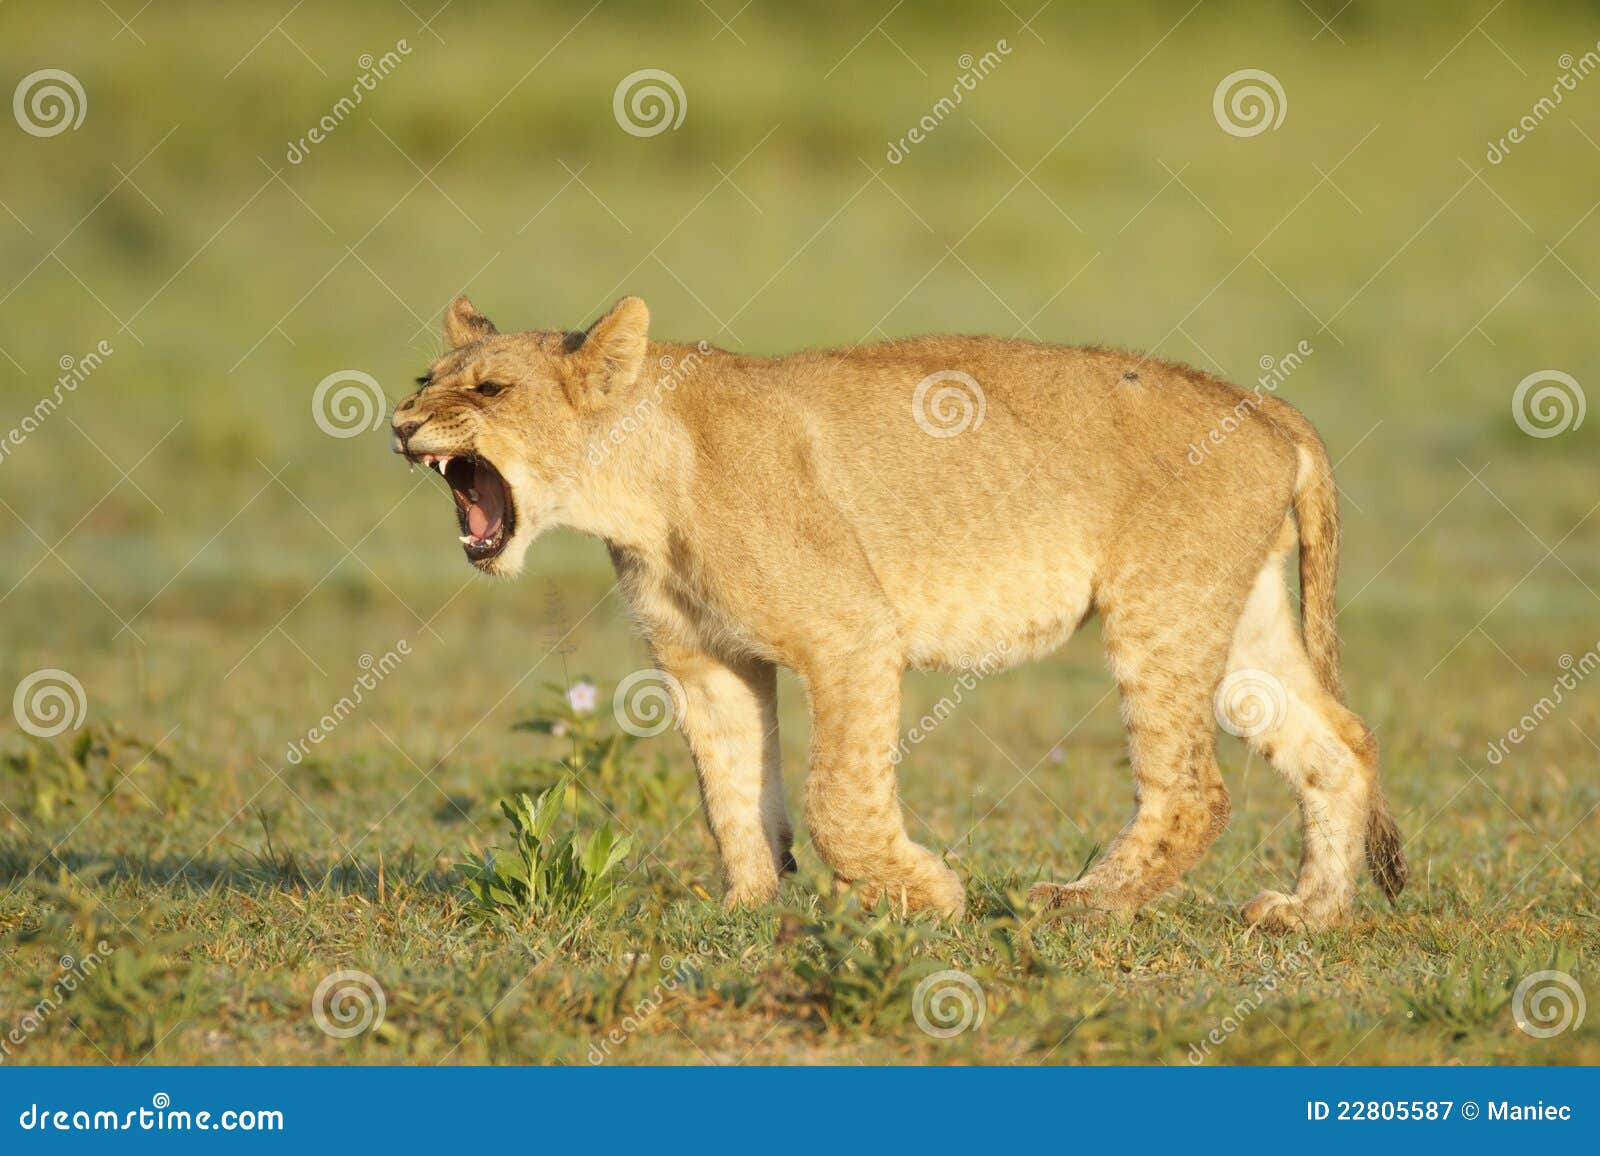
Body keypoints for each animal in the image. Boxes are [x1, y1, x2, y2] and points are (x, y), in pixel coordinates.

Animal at [390, 295, 1406, 929]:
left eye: (490, 390)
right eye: (422, 379)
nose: (399, 427)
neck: (635, 488)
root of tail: (1263, 403)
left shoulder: (851, 632)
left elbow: (836, 799)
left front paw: (928, 895)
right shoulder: (706, 660)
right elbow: (733, 794)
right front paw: (747, 909)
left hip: (1159, 610)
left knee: (1196, 789)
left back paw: (1080, 901)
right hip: (1235, 622)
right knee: (1340, 743)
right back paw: (1306, 916)